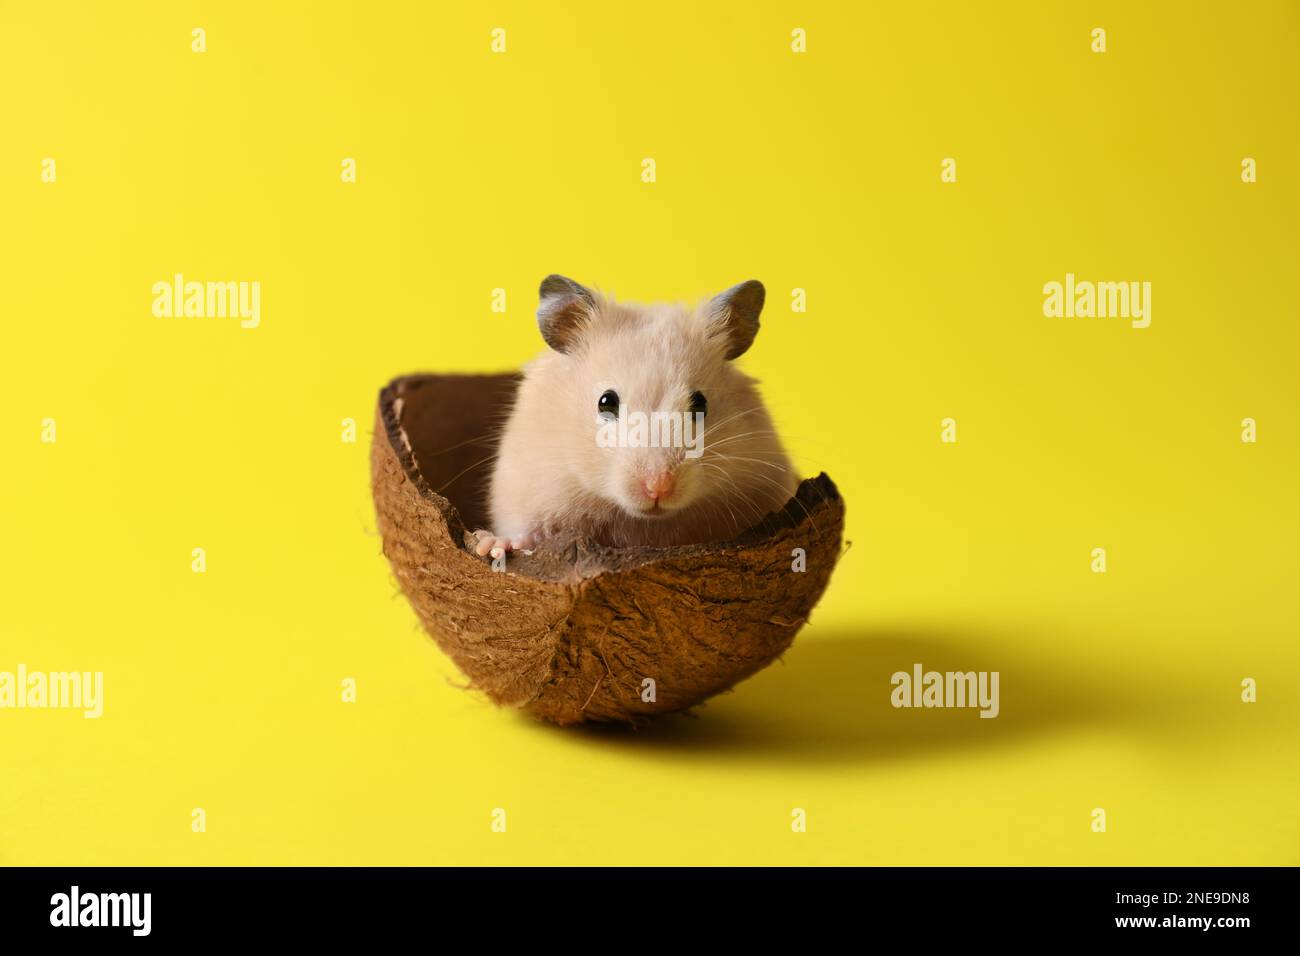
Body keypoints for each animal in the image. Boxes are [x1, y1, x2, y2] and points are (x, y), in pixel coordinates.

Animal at [473, 275, 800, 558]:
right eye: (606, 402)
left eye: (700, 403)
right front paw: (491, 546)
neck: (643, 521)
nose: (659, 487)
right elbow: (528, 532)